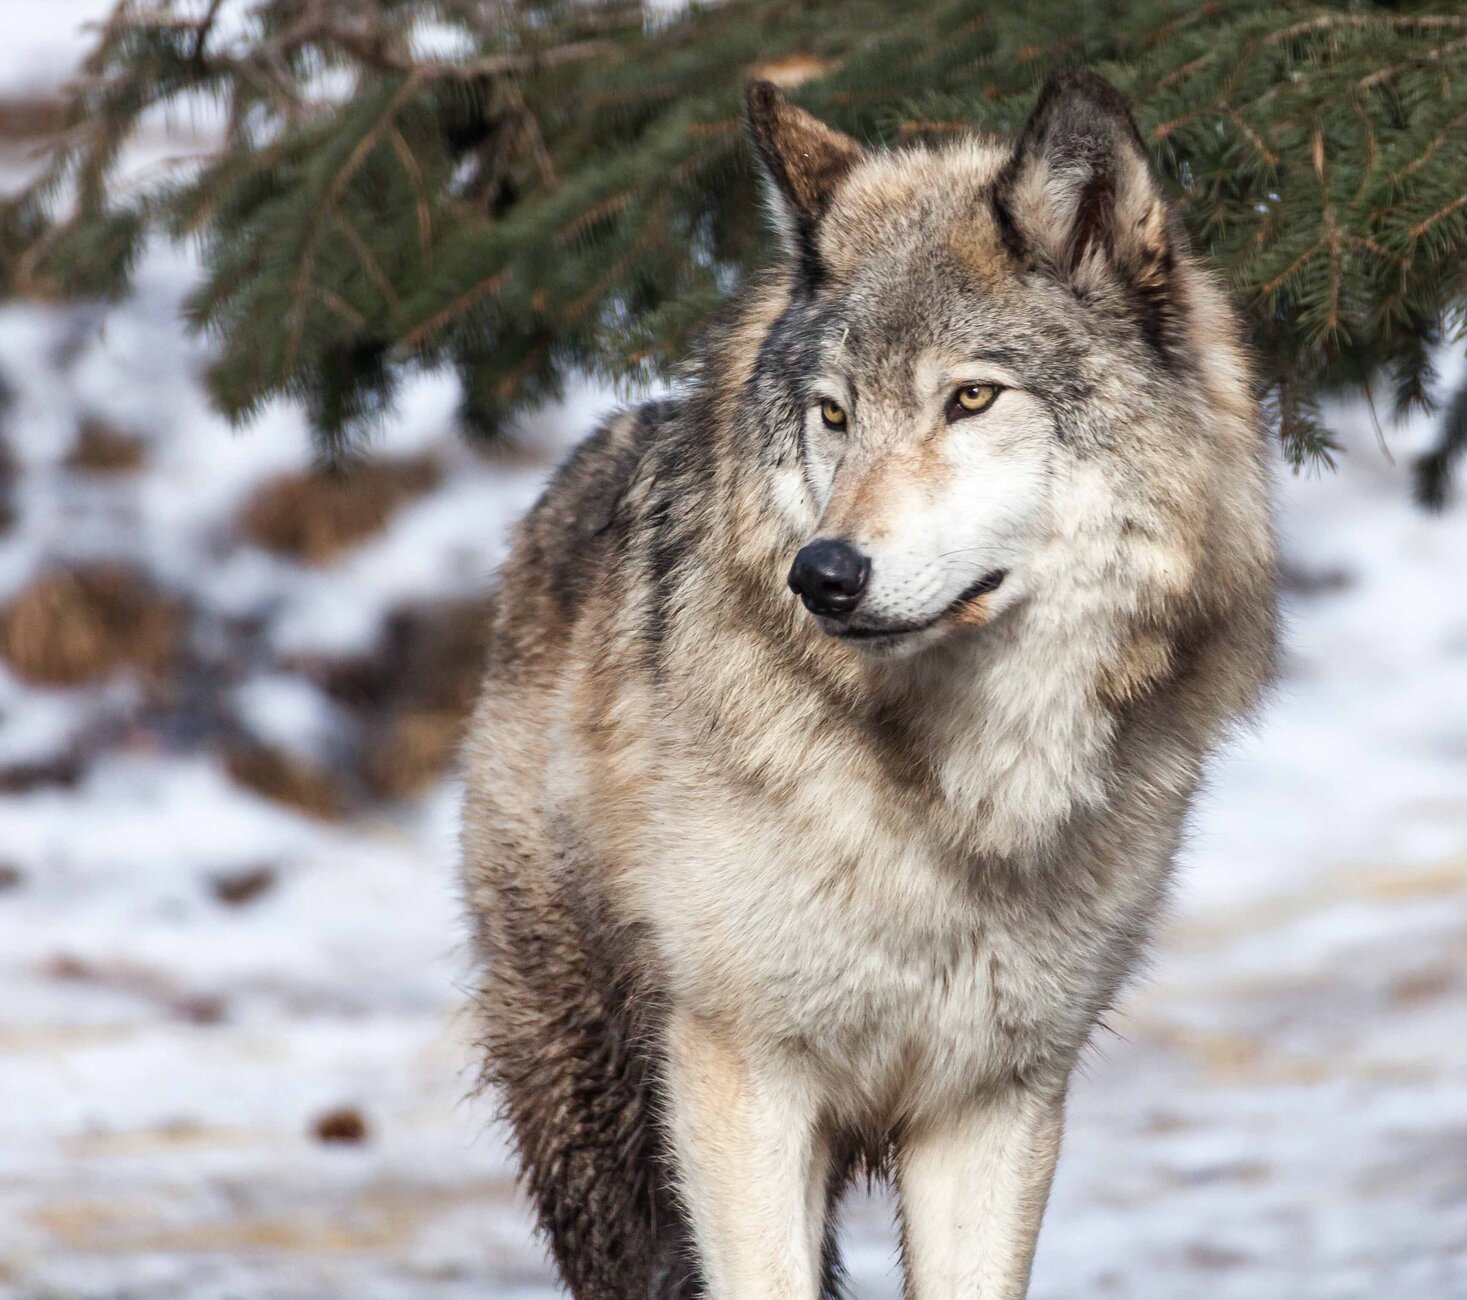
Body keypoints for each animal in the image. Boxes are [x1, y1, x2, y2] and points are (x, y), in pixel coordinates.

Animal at [461, 69, 1277, 1299]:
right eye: (834, 414)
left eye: (972, 400)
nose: (823, 575)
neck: (957, 794)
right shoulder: (740, 1080)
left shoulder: (1000, 1100)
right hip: (605, 1138)